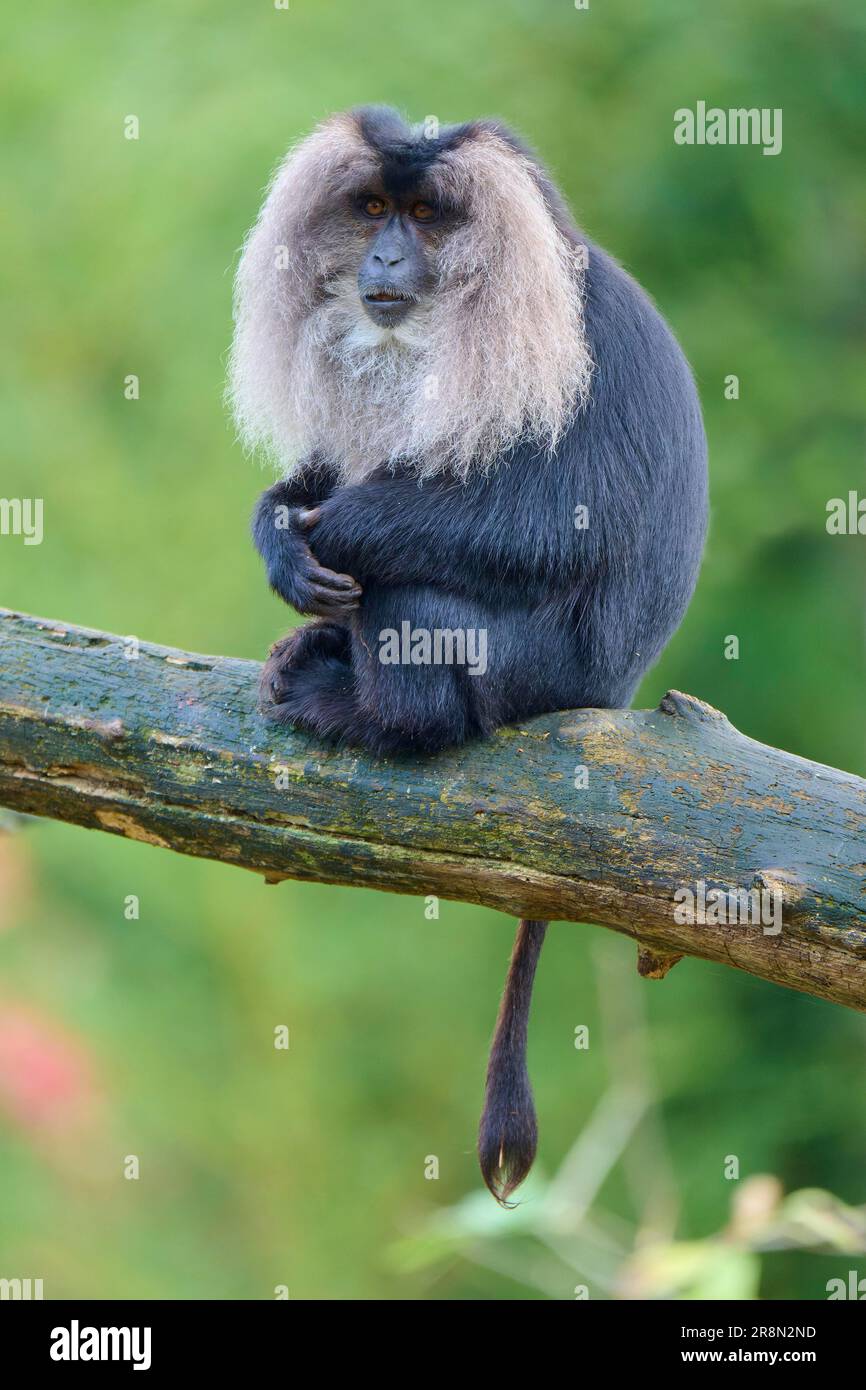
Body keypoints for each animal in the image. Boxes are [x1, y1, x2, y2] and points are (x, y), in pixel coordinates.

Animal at [229, 106, 708, 1204]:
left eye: (426, 218)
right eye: (371, 209)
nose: (384, 257)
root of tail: (606, 694)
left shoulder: (572, 342)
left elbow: (548, 525)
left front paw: (331, 528)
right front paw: (279, 531)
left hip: (529, 668)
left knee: (413, 589)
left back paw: (369, 709)